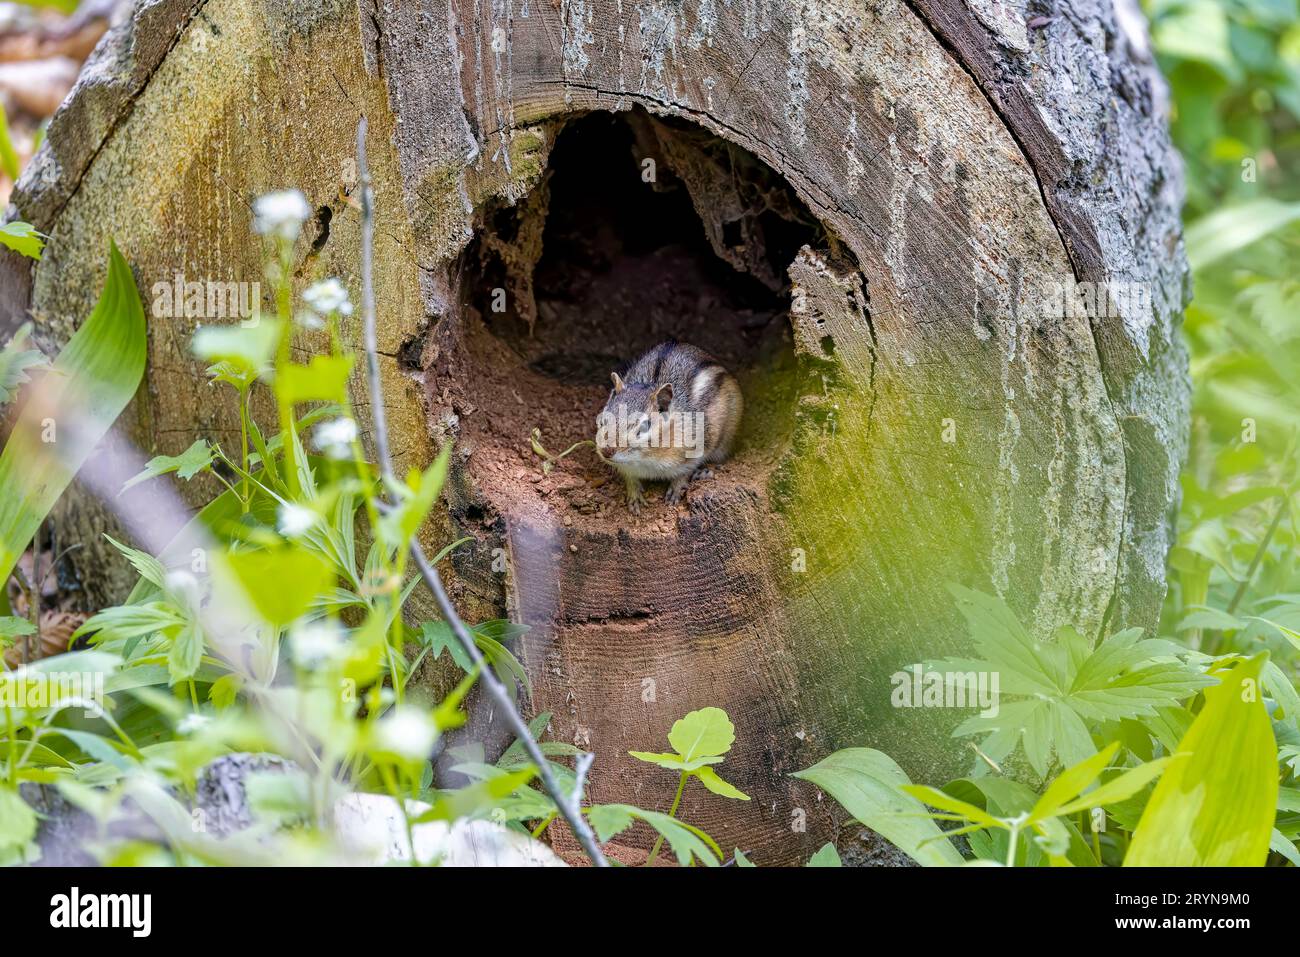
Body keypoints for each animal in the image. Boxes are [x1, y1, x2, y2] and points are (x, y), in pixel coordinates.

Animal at [595, 340, 743, 513]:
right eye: (603, 420)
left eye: (644, 426)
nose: (606, 451)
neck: (646, 460)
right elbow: (630, 478)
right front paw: (634, 496)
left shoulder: (697, 448)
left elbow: (685, 472)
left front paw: (676, 490)